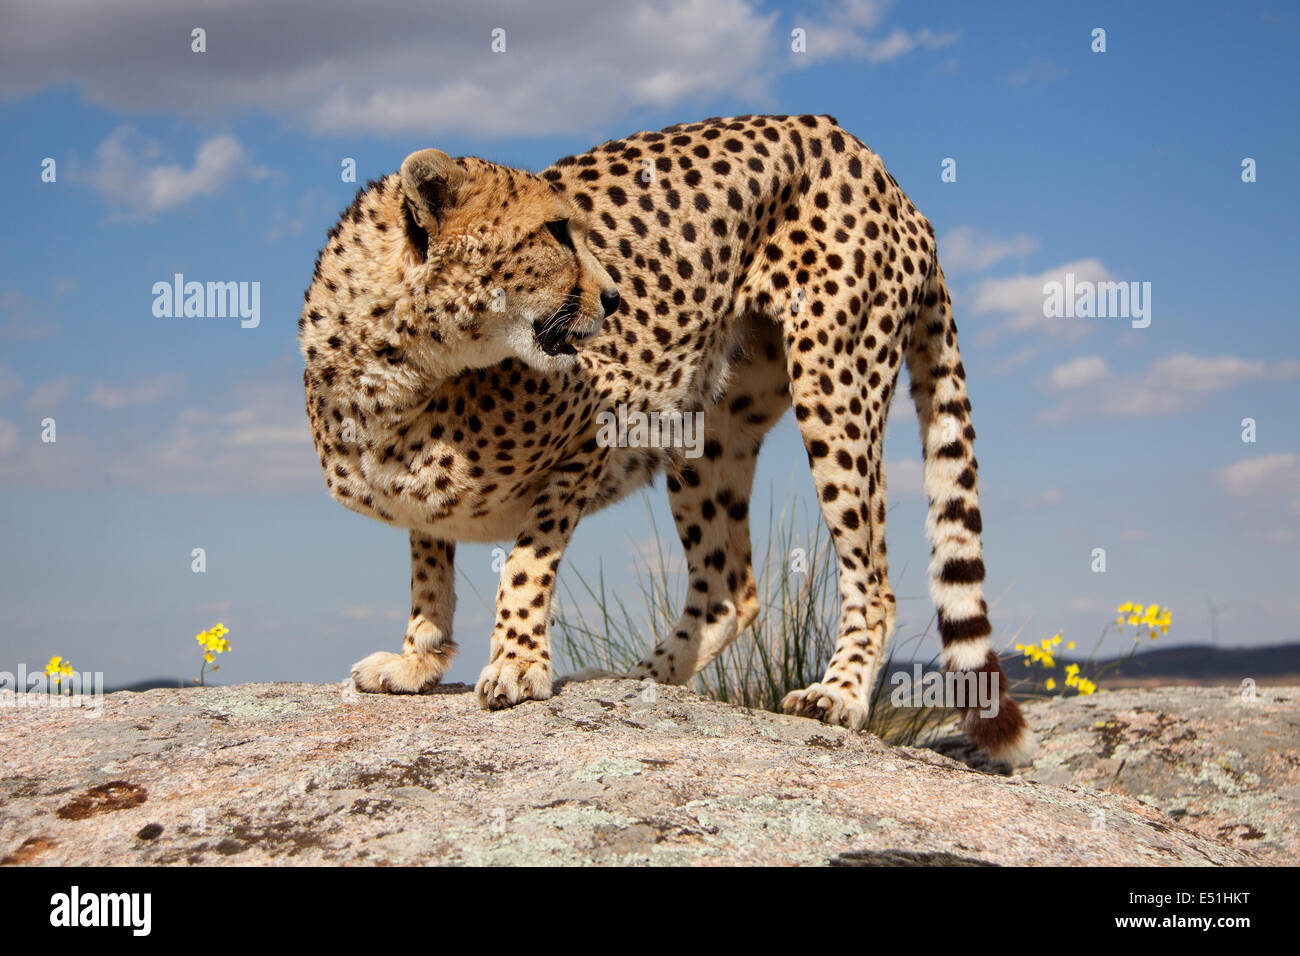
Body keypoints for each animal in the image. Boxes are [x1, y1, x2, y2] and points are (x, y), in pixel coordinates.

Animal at [299, 114, 1036, 765]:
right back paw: (639, 677)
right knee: (729, 588)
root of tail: (872, 160)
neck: (410, 369)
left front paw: (516, 662)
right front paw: (417, 660)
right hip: (707, 431)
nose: (615, 300)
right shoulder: (425, 498)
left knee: (870, 580)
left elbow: (525, 564)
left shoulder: (594, 434)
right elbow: (429, 569)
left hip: (833, 385)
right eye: (553, 232)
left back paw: (840, 693)